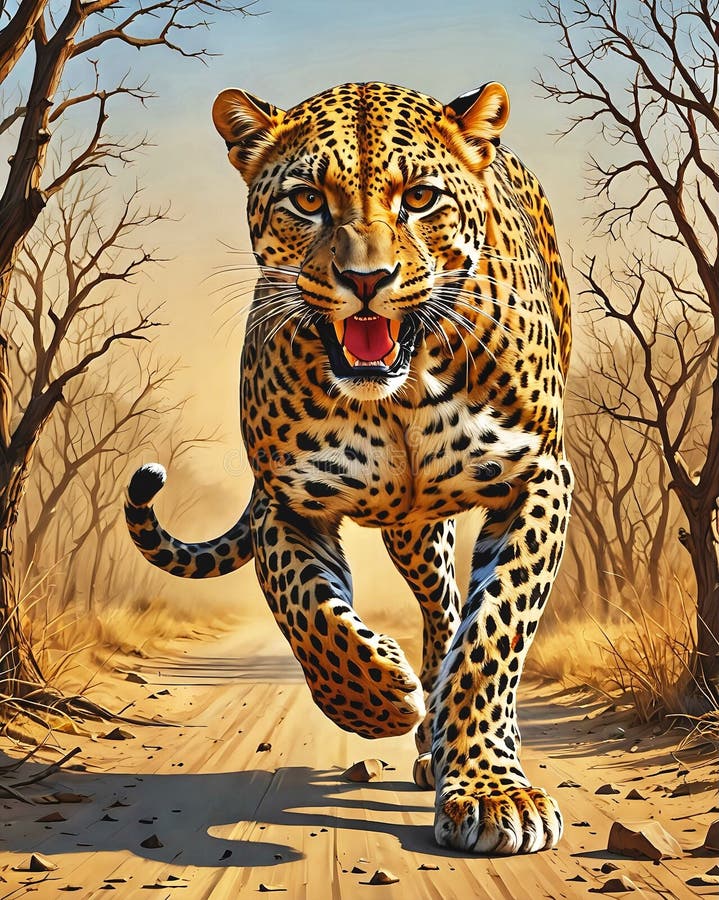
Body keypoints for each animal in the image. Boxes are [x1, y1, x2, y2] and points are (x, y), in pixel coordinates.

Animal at [124, 80, 573, 855]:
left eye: (419, 198)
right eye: (308, 200)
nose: (367, 280)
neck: (403, 393)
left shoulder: (539, 476)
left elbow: (493, 635)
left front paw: (492, 793)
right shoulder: (285, 502)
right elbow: (311, 616)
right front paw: (381, 700)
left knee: (458, 623)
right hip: (411, 529)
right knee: (438, 609)